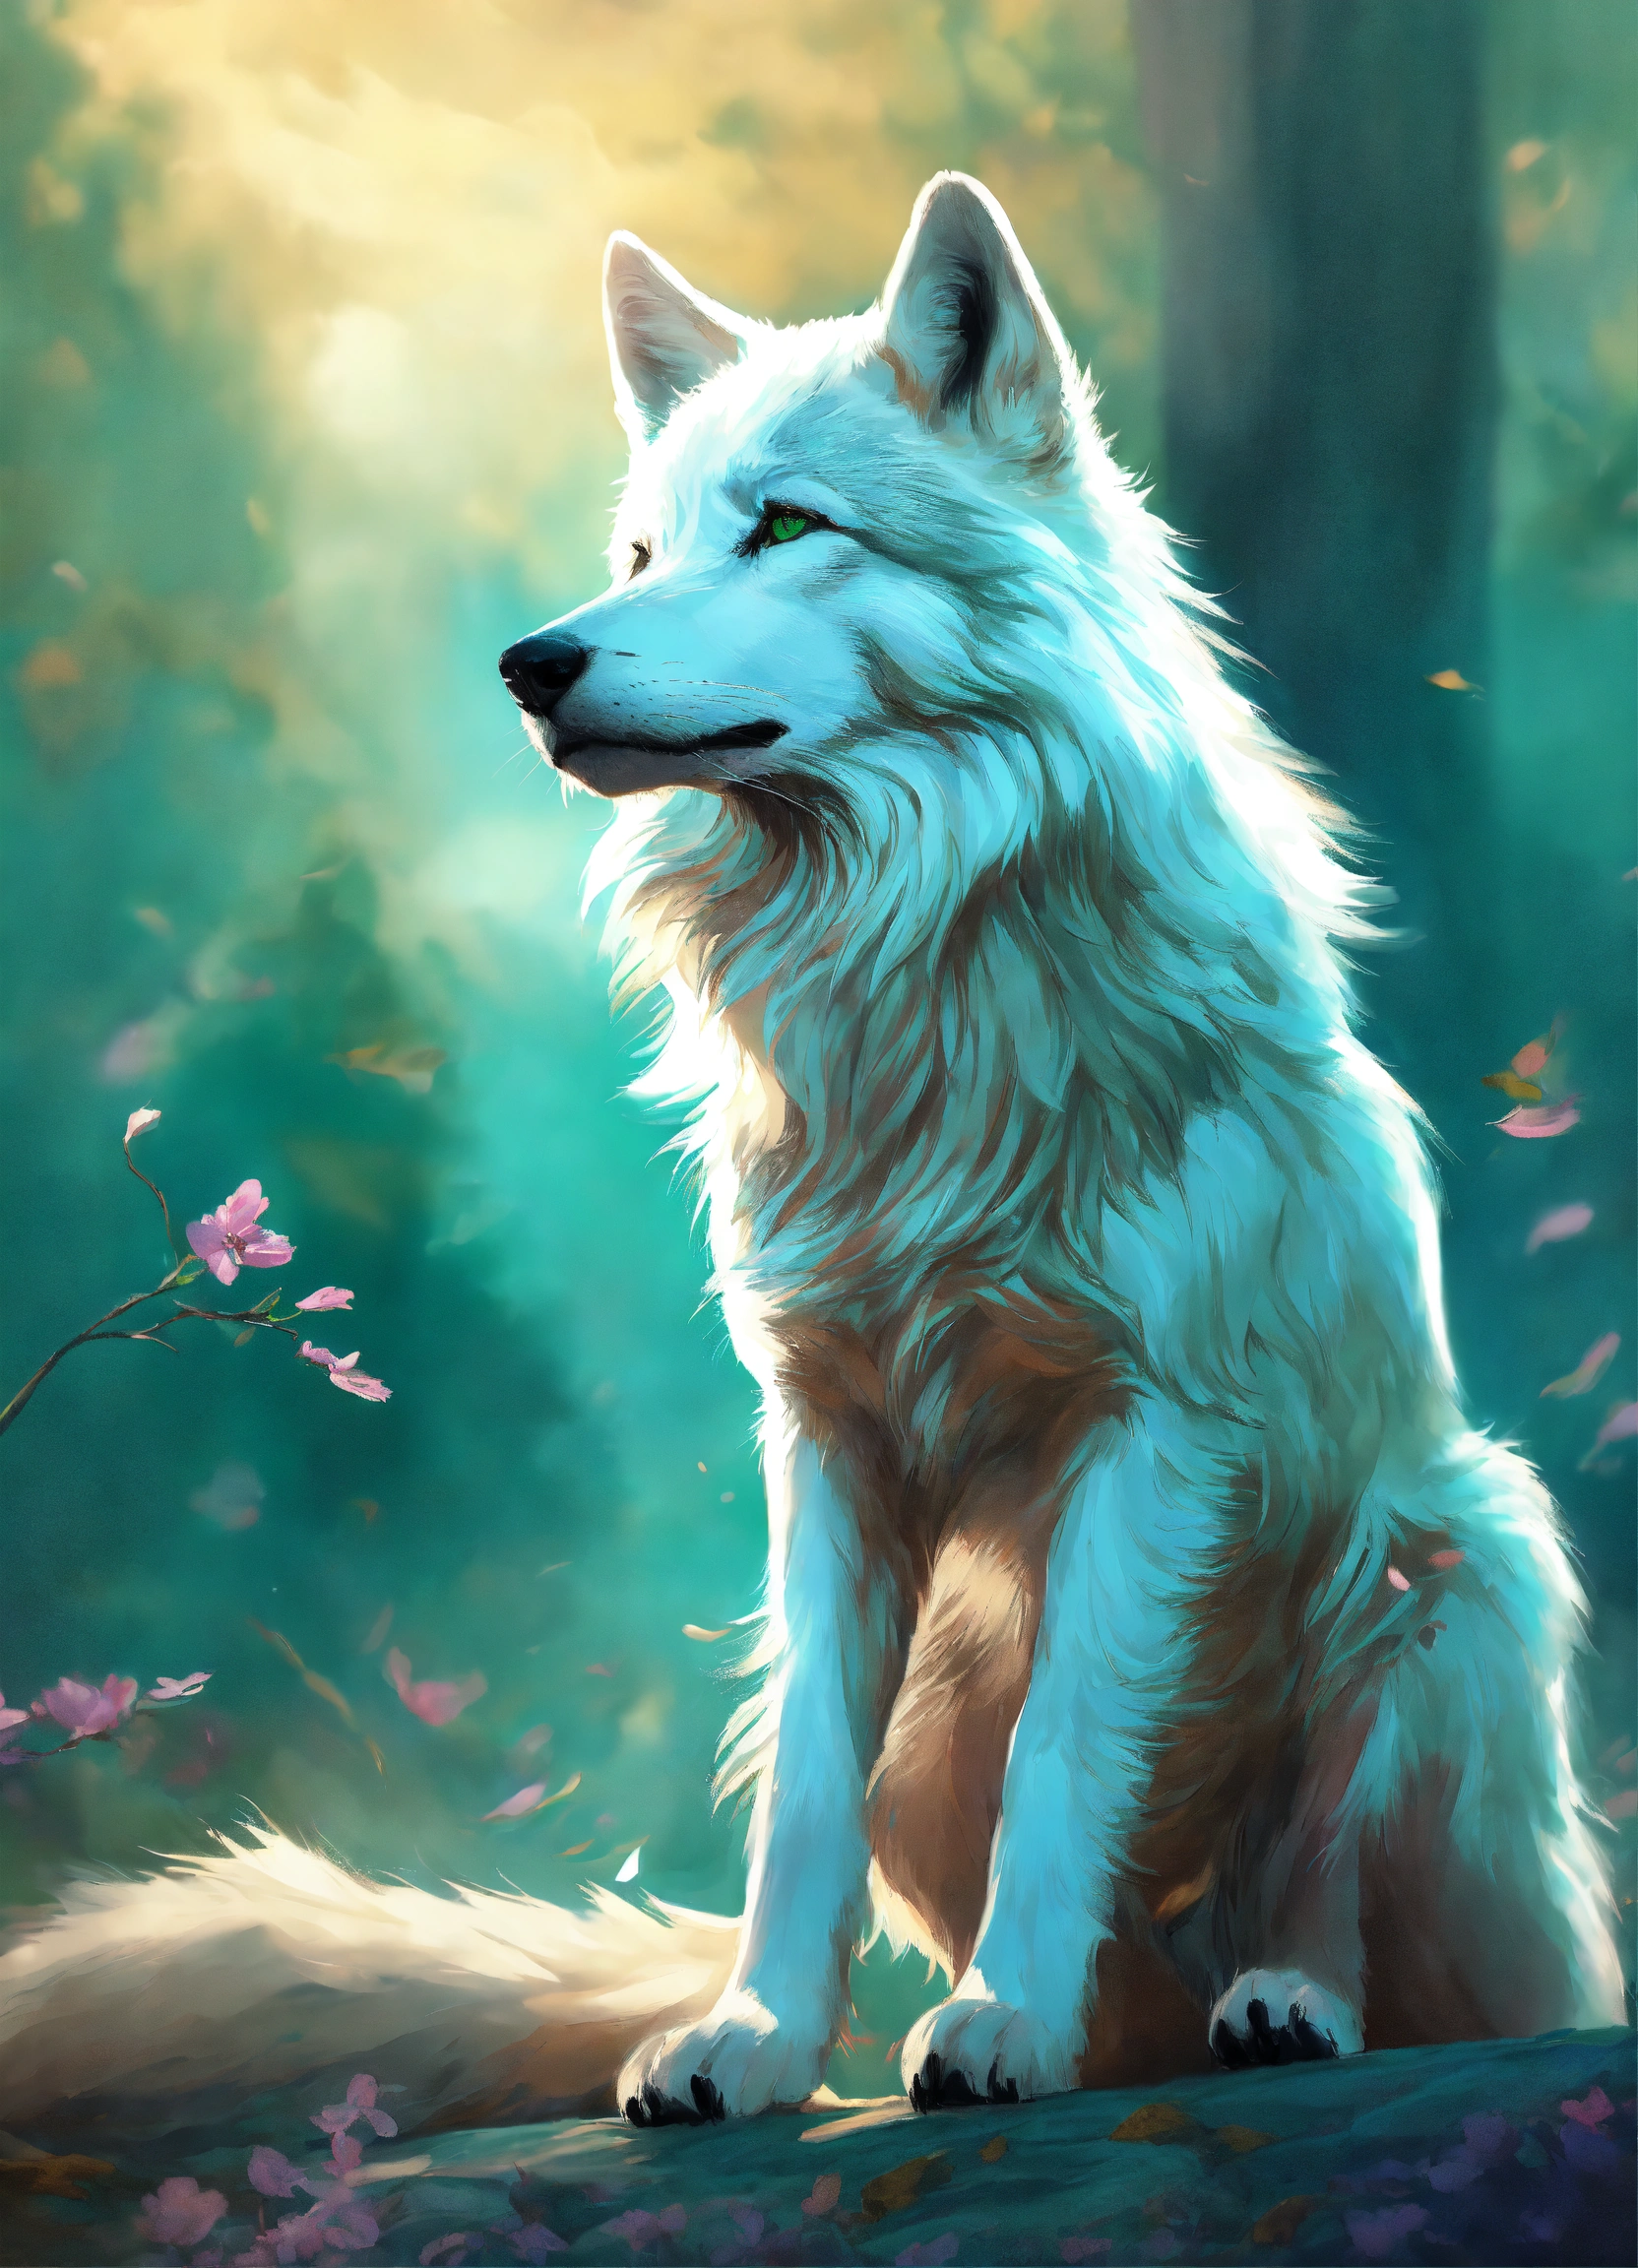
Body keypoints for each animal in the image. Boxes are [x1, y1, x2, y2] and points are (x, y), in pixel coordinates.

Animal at [0, 174, 1623, 2140]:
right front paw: (757, 2041)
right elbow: (797, 1796)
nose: (531, 664)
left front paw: (996, 2026)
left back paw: (1282, 2003)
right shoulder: (825, 1444)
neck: (906, 968)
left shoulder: (1152, 1434)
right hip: (970, 1706)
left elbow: (1068, 1763)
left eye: (783, 525)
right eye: (639, 554)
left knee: (1361, 1916)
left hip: (1468, 1563)